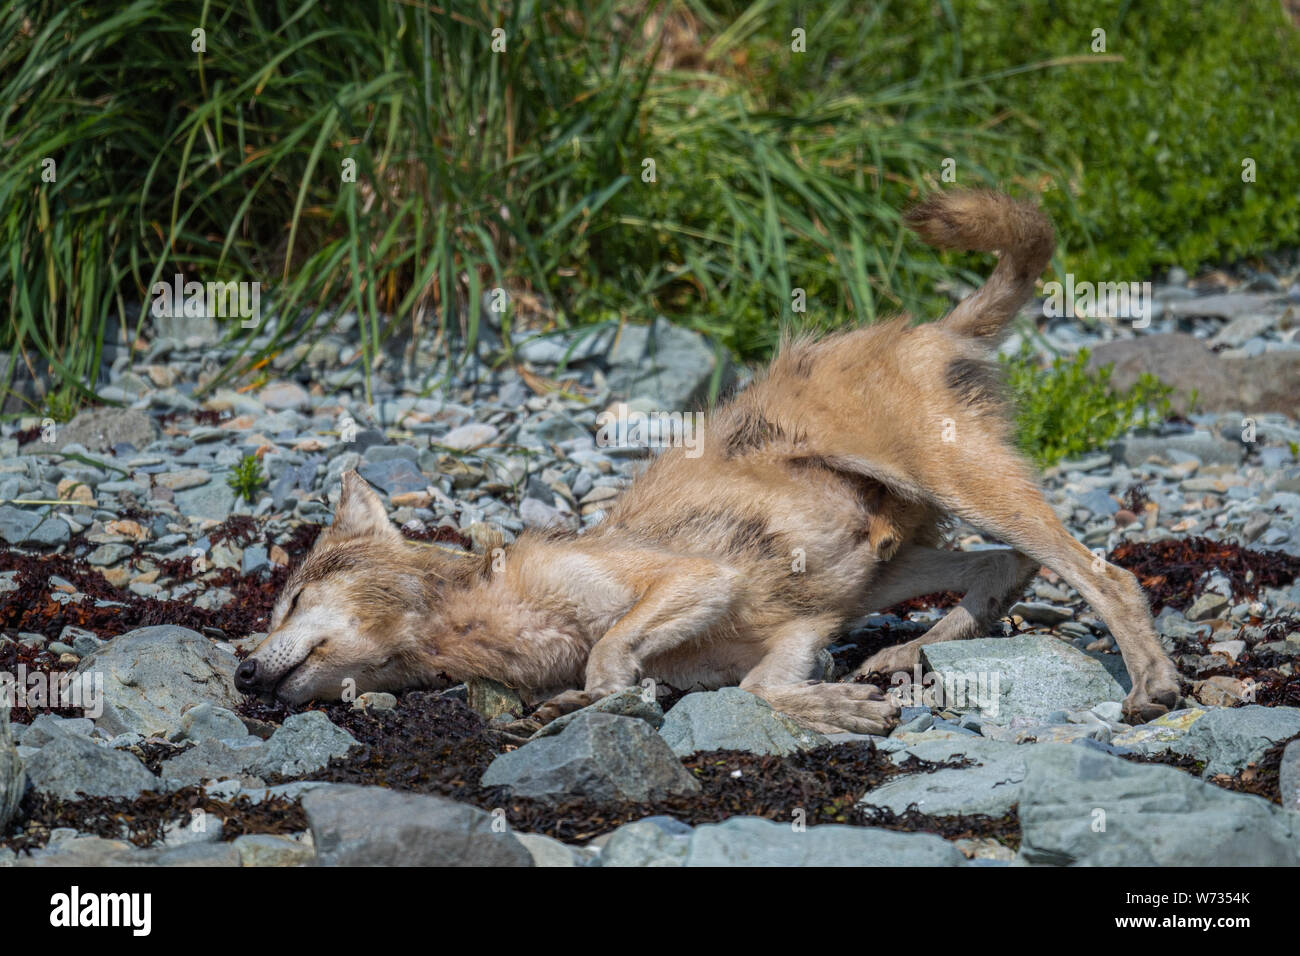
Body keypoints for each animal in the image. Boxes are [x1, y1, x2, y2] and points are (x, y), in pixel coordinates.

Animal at [235, 189, 1182, 733]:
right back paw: (904, 658)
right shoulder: (796, 632)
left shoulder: (690, 582)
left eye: (291, 600)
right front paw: (836, 703)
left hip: (969, 489)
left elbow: (612, 653)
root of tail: (933, 328)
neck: (480, 616)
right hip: (887, 566)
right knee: (1001, 571)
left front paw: (594, 694)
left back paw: (1151, 685)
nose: (242, 672)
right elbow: (758, 689)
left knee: (1104, 573)